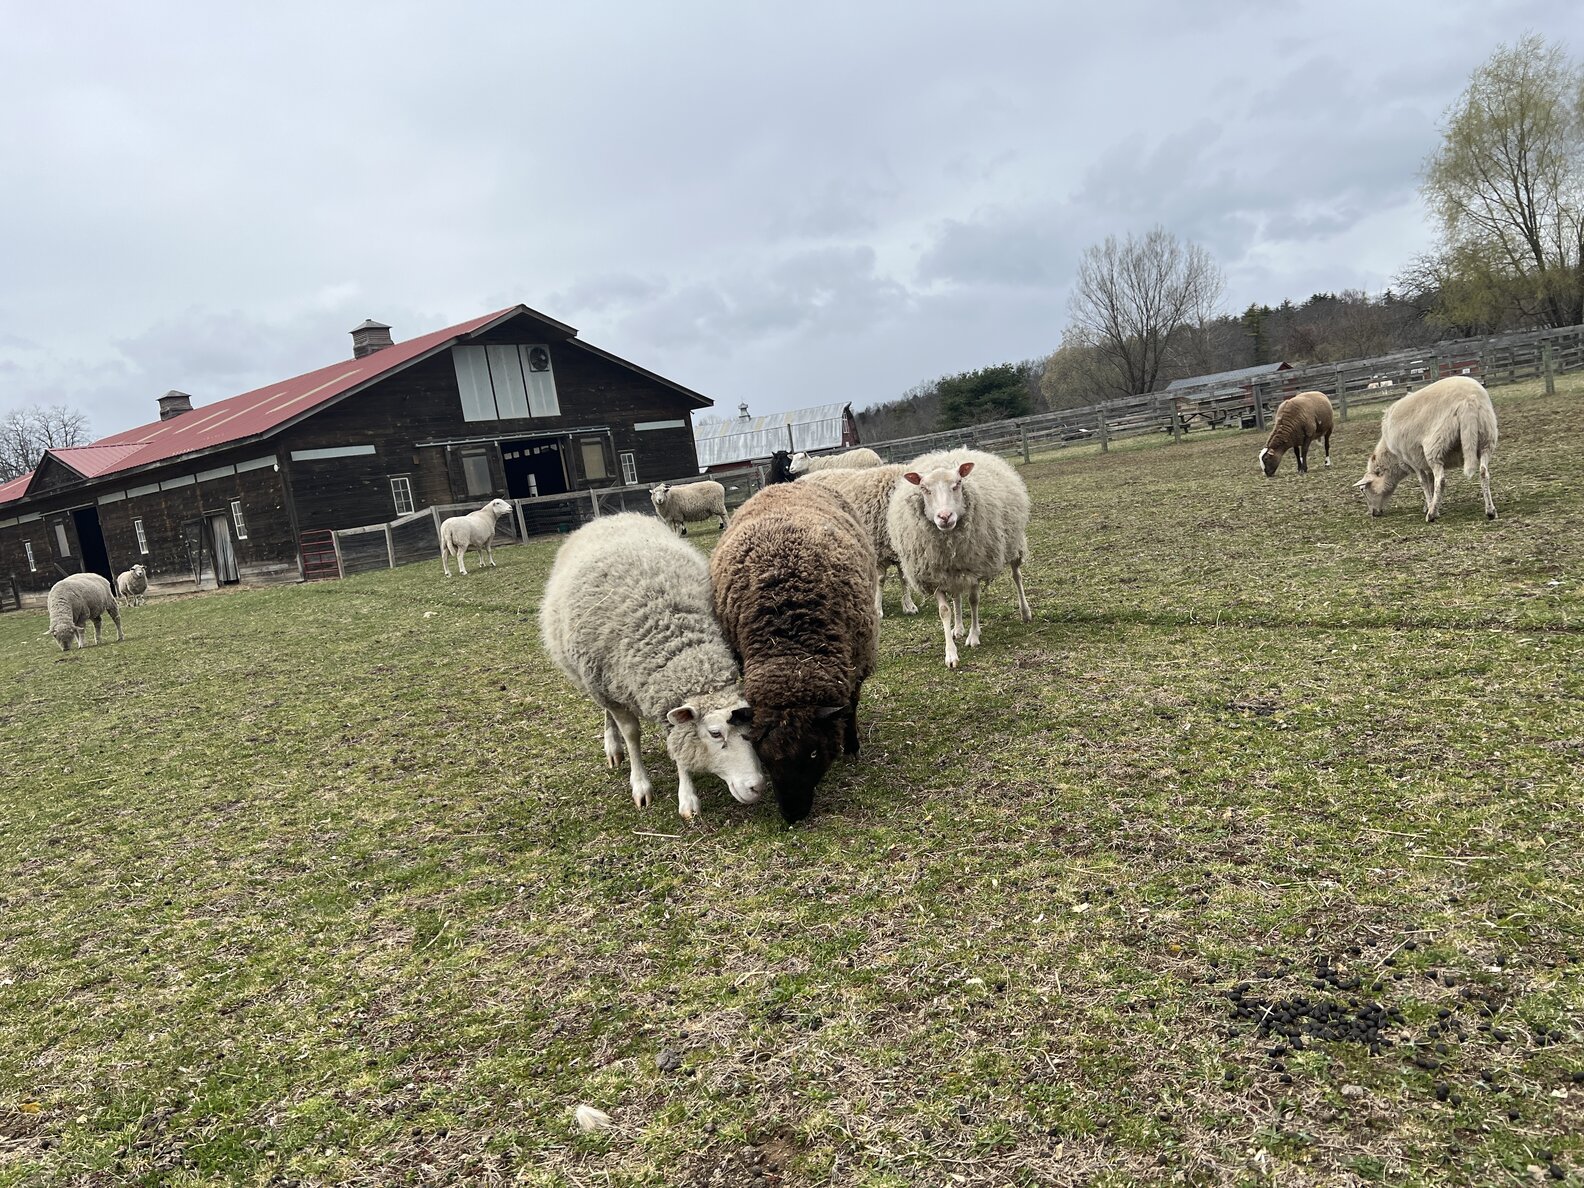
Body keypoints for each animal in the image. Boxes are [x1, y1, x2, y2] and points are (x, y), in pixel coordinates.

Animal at [539, 513, 766, 818]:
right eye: (715, 733)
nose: (757, 786)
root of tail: (610, 517)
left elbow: (676, 740)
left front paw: (686, 797)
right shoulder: (613, 689)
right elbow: (632, 734)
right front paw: (641, 785)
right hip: (594, 680)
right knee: (606, 712)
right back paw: (613, 746)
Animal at [710, 482, 879, 824]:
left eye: (813, 752)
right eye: (763, 756)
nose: (793, 815)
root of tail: (786, 483)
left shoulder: (857, 663)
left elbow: (850, 707)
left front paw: (851, 745)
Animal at [799, 464, 920, 617]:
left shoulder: (900, 551)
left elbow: (904, 579)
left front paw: (909, 606)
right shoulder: (877, 550)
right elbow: (880, 579)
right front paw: (878, 609)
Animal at [887, 449, 1031, 669]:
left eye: (957, 484)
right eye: (924, 489)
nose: (945, 517)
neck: (949, 543)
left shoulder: (975, 566)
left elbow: (974, 600)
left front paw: (974, 636)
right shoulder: (935, 575)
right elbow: (944, 611)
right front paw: (951, 653)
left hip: (1013, 544)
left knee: (1017, 577)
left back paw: (1025, 613)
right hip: (953, 572)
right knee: (956, 596)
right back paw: (958, 628)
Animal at [1354, 376, 1498, 522]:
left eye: (1363, 489)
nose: (1373, 513)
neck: (1393, 458)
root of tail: (1469, 400)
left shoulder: (1412, 459)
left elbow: (1424, 482)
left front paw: (1430, 506)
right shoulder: (1423, 462)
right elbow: (1430, 481)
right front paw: (1430, 505)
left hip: (1435, 445)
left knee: (1441, 480)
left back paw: (1431, 515)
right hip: (1487, 438)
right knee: (1483, 472)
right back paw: (1490, 511)